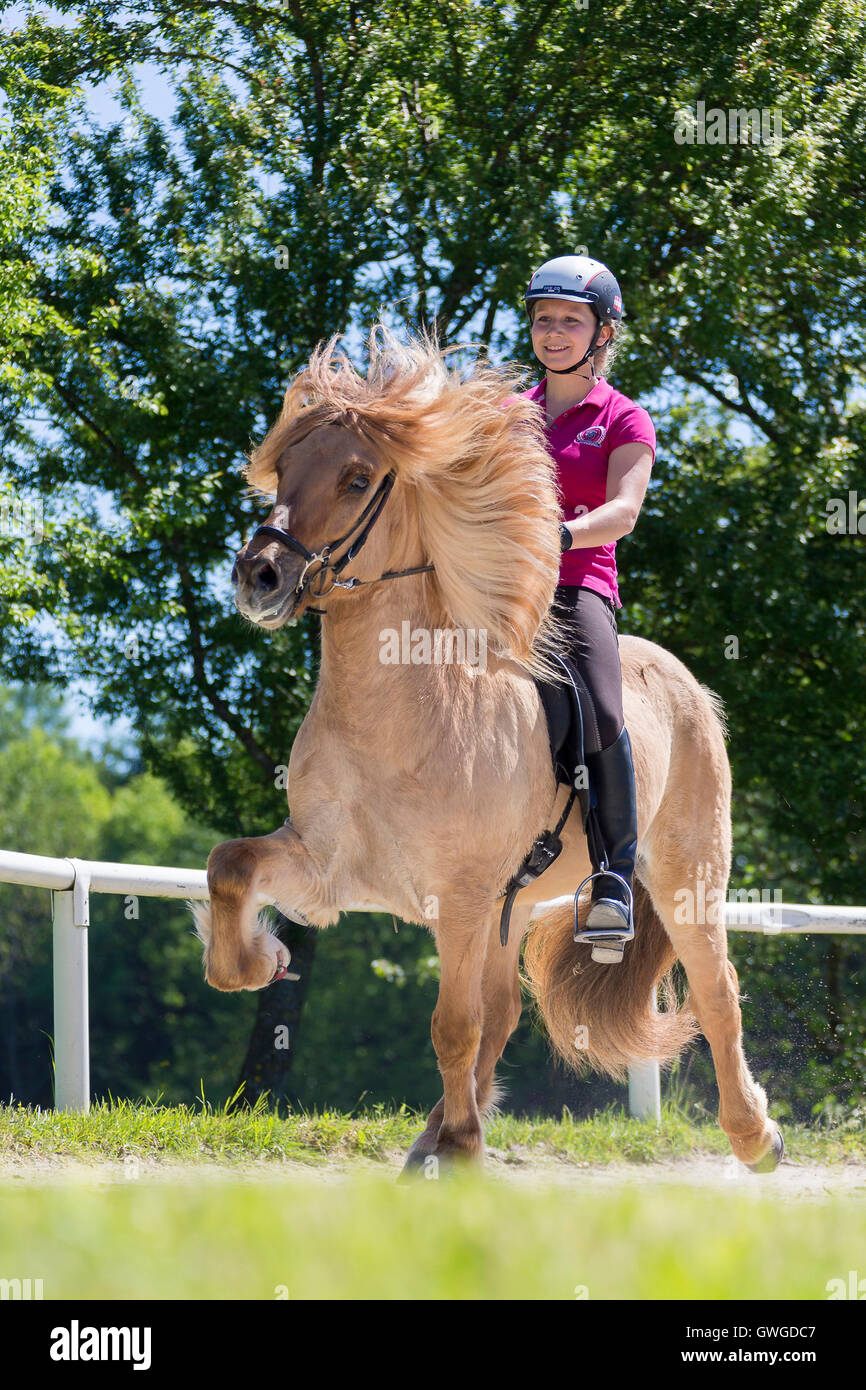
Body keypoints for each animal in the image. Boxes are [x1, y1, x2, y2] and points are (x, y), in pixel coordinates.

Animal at [190, 323, 783, 1177]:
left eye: (357, 477)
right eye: (285, 465)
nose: (259, 576)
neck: (400, 717)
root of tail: (689, 685)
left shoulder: (463, 902)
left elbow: (453, 1026)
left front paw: (468, 1148)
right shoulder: (331, 865)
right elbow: (231, 865)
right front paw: (258, 960)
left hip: (684, 876)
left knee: (716, 988)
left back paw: (755, 1134)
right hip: (521, 903)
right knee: (505, 1013)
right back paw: (431, 1138)